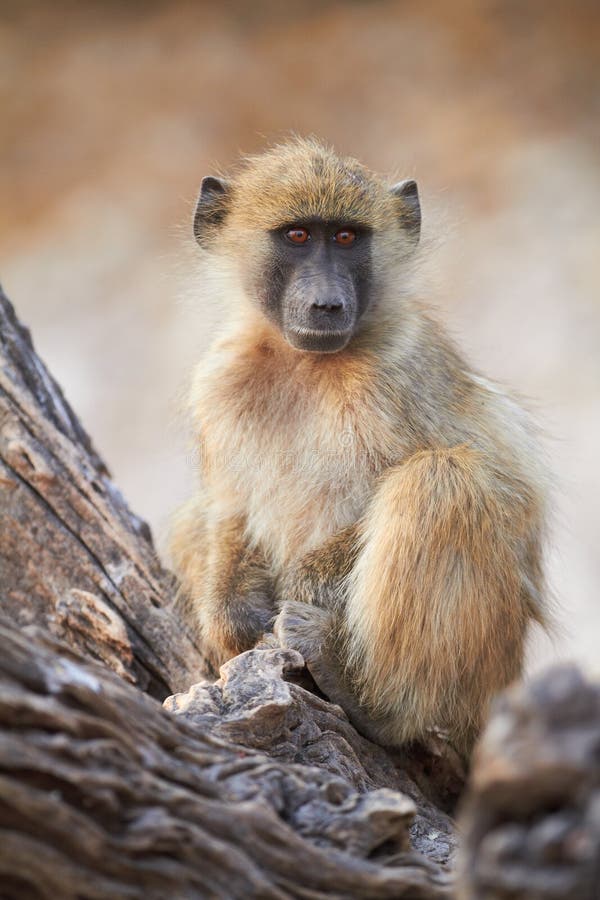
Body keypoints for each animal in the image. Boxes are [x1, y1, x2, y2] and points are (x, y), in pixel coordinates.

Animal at [170, 137, 549, 758]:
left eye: (347, 238)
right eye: (299, 235)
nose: (327, 304)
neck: (304, 362)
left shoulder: (399, 371)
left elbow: (511, 493)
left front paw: (302, 583)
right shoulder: (218, 381)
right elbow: (228, 506)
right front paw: (233, 614)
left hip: (487, 673)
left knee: (442, 481)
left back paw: (373, 703)